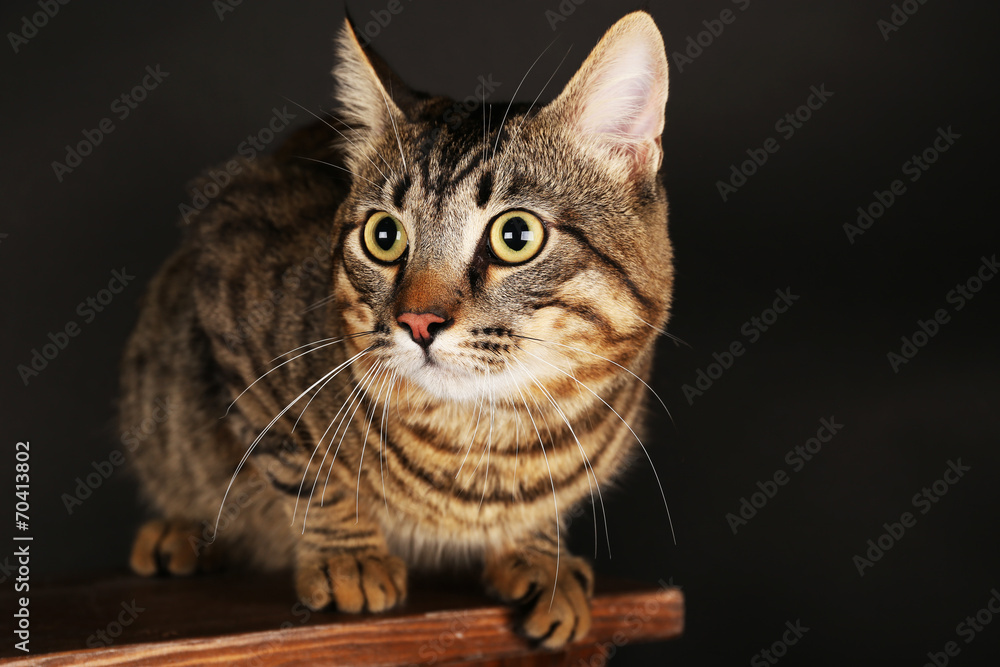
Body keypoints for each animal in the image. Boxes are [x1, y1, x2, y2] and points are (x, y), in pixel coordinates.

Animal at [121, 7, 676, 648]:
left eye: (516, 236)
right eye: (384, 236)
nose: (418, 321)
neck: (486, 441)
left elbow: (544, 510)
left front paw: (540, 556)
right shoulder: (233, 311)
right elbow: (302, 466)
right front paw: (349, 556)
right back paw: (178, 534)